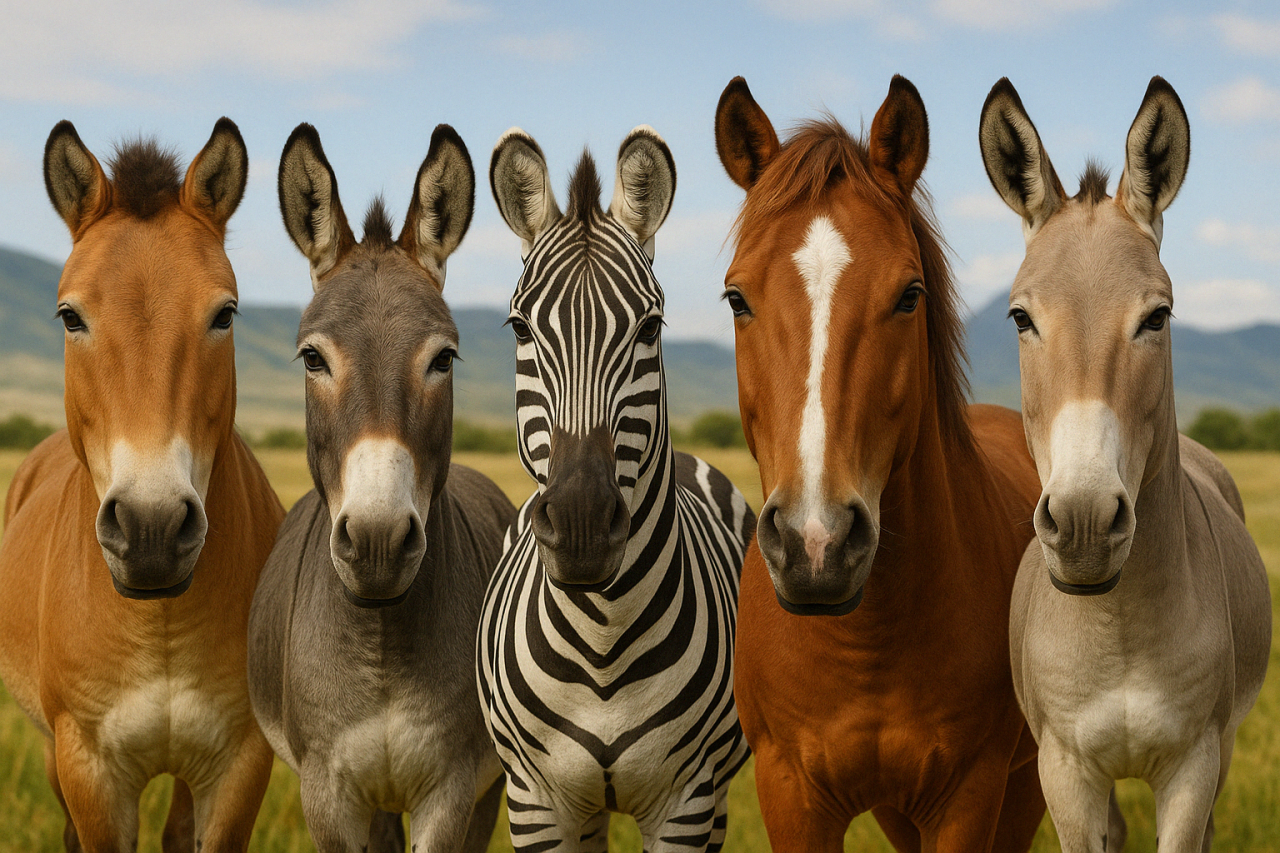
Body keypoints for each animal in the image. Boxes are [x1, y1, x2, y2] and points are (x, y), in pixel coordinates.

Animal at [477, 126, 755, 853]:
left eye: (650, 328)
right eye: (519, 328)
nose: (580, 526)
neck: (602, 643)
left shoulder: (686, 799)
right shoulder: (537, 799)